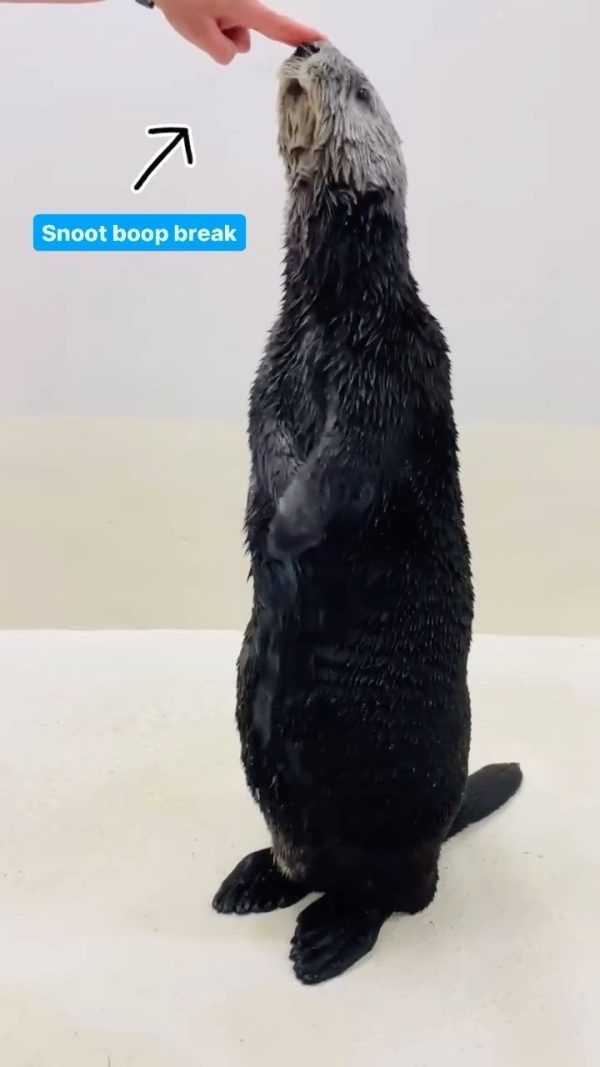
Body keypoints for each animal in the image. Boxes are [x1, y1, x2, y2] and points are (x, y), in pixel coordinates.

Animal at [213, 41, 522, 985]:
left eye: (359, 88)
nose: (305, 45)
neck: (332, 315)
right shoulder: (271, 368)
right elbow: (265, 438)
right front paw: (266, 528)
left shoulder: (390, 368)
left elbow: (345, 469)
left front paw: (283, 539)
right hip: (284, 802)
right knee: (302, 861)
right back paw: (253, 881)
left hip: (398, 808)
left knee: (392, 895)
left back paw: (327, 937)